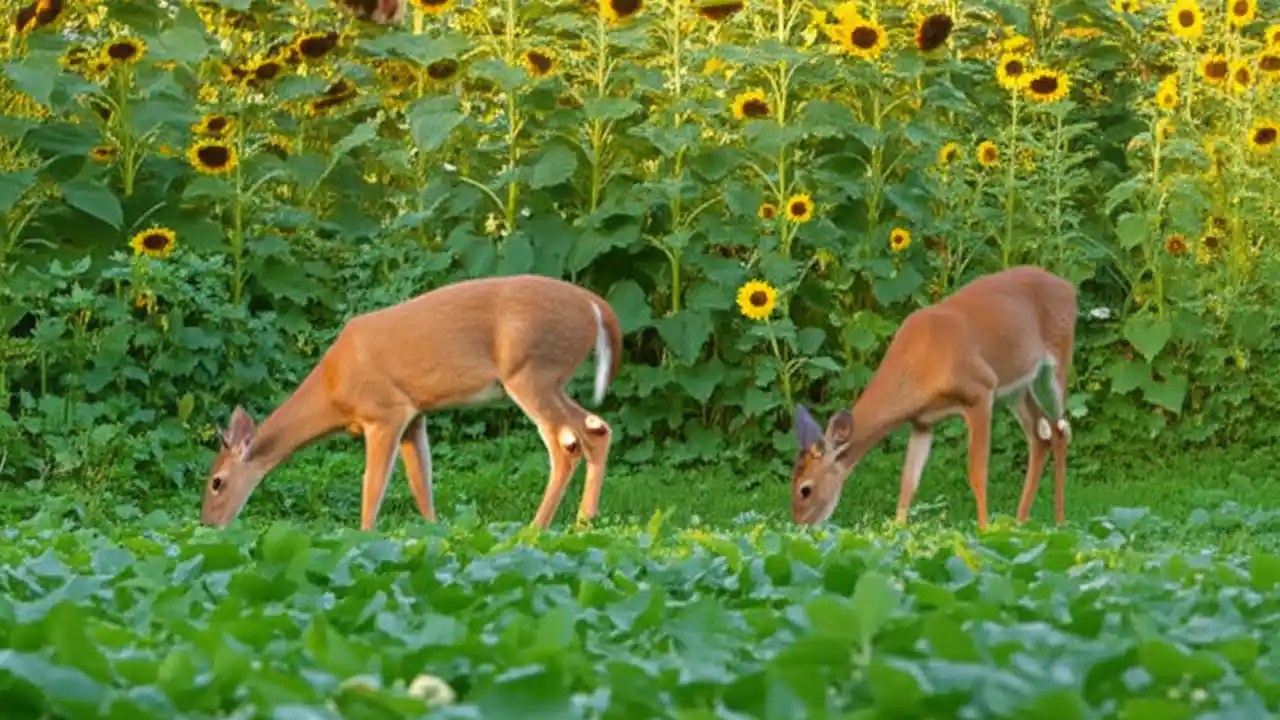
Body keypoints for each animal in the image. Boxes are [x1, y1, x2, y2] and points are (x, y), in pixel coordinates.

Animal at [199, 274, 624, 532]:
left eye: (217, 482)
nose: (207, 524)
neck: (333, 390)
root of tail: (596, 305)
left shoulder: (385, 412)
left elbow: (372, 487)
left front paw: (363, 537)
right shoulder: (415, 416)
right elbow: (422, 483)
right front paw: (434, 533)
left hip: (530, 371)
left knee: (566, 445)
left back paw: (537, 527)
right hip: (552, 379)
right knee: (597, 429)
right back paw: (585, 521)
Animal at [790, 265, 1077, 531]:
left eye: (805, 488)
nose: (800, 526)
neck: (922, 360)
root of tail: (1068, 287)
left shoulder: (981, 390)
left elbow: (977, 473)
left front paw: (984, 531)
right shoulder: (922, 421)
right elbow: (908, 481)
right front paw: (897, 532)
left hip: (1055, 366)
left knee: (1060, 429)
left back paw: (1060, 522)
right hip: (1017, 390)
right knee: (1040, 436)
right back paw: (1020, 522)